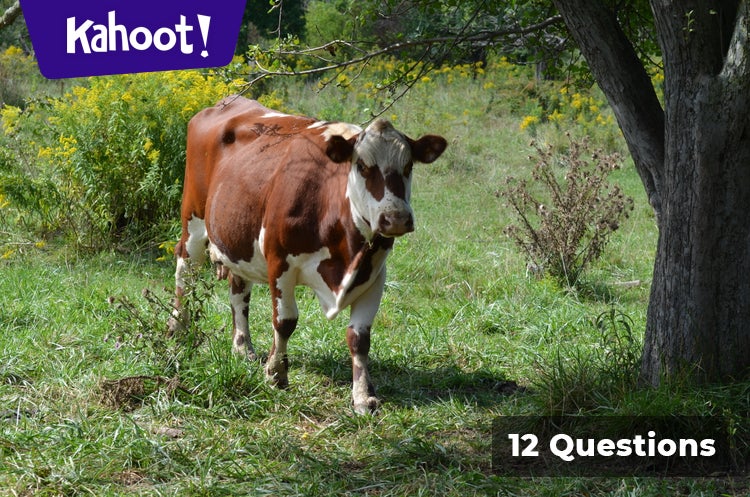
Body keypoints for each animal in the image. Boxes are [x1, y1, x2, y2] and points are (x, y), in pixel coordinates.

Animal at [168, 96, 447, 413]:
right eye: (362, 165)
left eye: (409, 165)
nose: (396, 218)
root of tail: (227, 101)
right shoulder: (279, 261)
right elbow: (285, 321)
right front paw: (276, 374)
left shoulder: (374, 273)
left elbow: (359, 337)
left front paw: (363, 396)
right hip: (193, 221)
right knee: (184, 273)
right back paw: (177, 330)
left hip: (237, 236)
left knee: (238, 291)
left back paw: (242, 347)